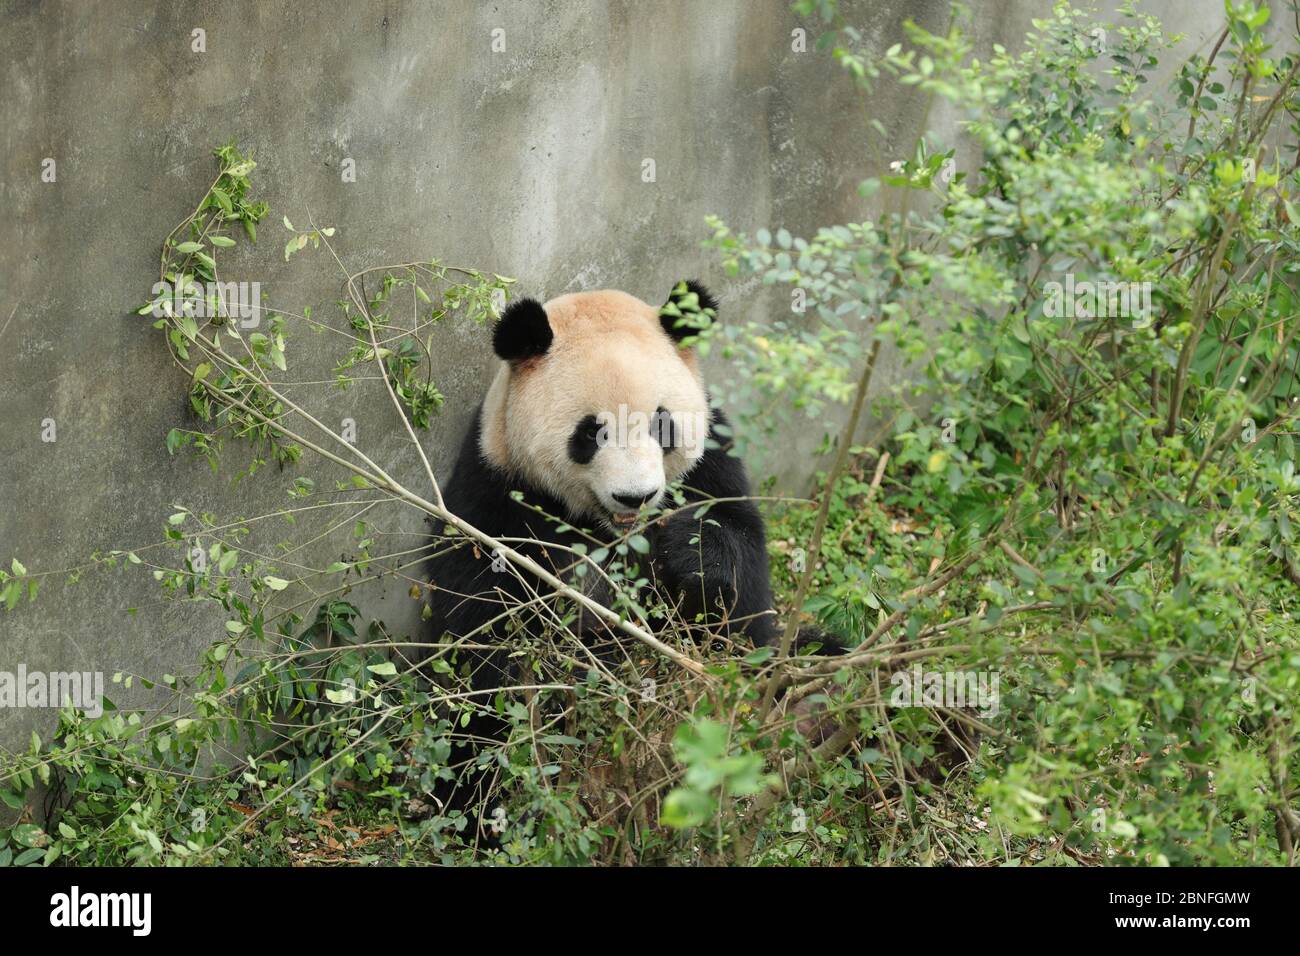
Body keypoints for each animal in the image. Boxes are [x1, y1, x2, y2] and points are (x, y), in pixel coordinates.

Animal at [423, 281, 796, 817]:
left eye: (662, 426)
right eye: (591, 432)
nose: (635, 497)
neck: (611, 531)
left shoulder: (712, 463)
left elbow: (744, 608)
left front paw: (690, 551)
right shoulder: (495, 487)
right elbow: (480, 619)